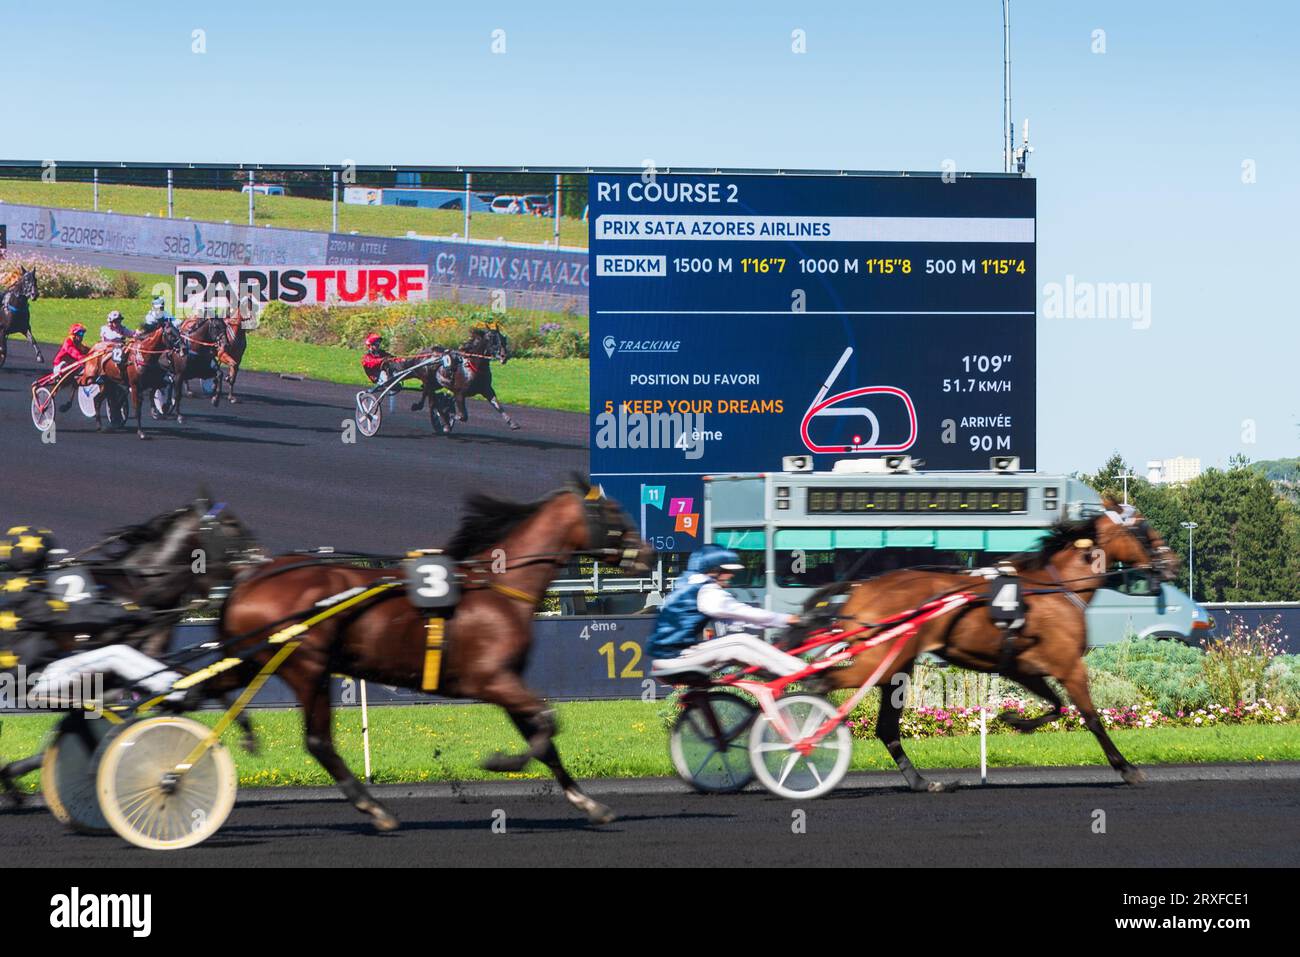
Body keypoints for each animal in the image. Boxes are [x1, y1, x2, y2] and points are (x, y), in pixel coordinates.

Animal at [213, 481, 655, 826]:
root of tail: (250, 579)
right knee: (319, 741)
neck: (497, 587)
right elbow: (547, 721)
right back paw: (373, 807)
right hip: (307, 667)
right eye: (614, 514)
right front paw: (500, 762)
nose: (649, 553)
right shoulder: (493, 679)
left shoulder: (507, 680)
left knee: (215, 689)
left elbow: (544, 739)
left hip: (256, 660)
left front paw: (590, 803)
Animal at [806, 501, 1175, 790]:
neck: (1057, 589)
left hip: (895, 667)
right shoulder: (1069, 665)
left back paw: (922, 782)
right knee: (822, 682)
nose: (1170, 561)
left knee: (884, 727)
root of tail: (859, 590)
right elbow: (1091, 717)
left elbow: (1056, 706)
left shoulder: (1024, 667)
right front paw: (1126, 768)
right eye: (1142, 527)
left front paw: (1014, 719)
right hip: (879, 660)